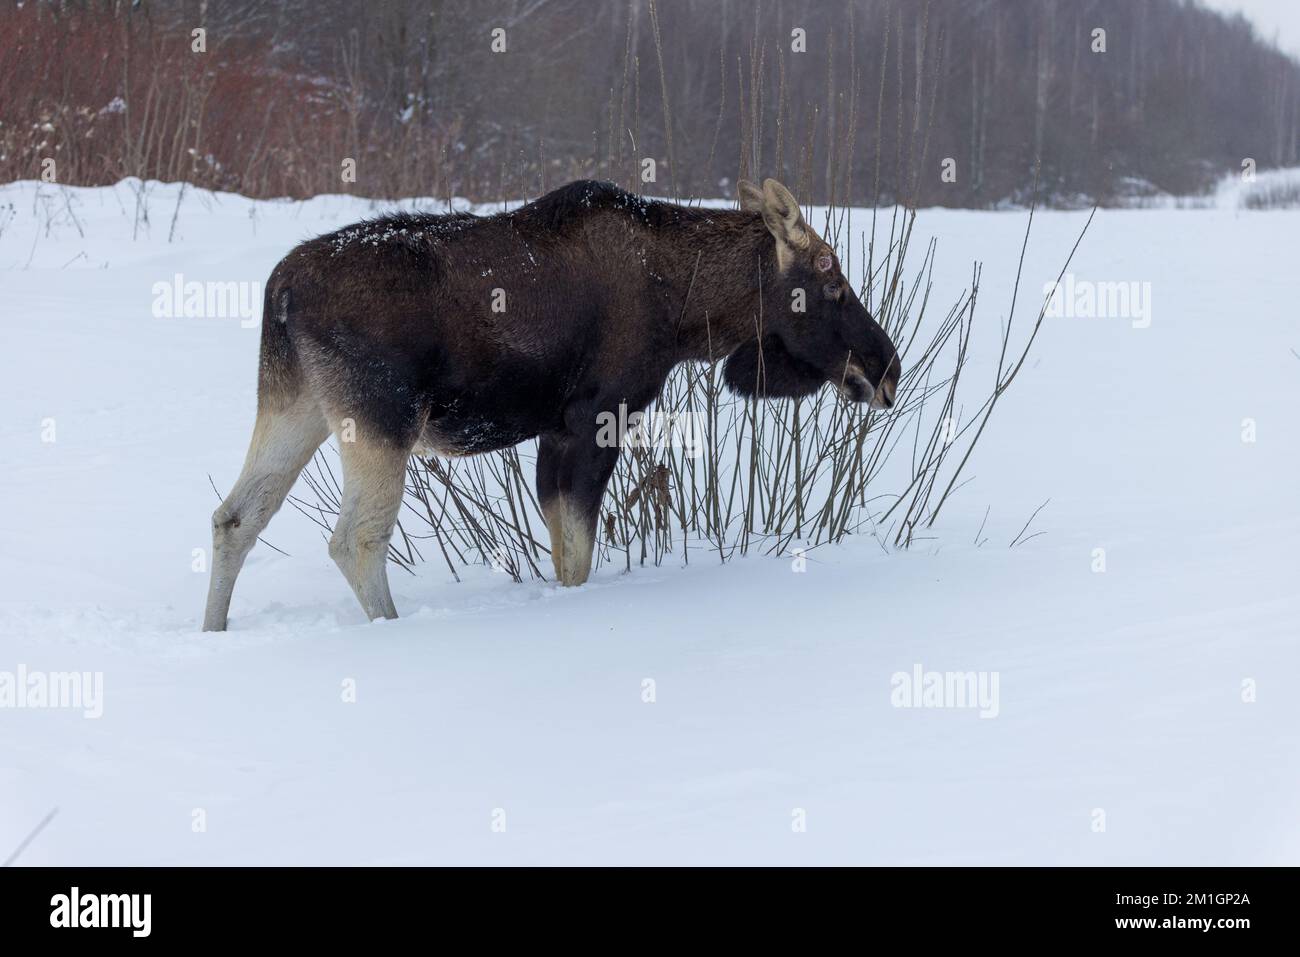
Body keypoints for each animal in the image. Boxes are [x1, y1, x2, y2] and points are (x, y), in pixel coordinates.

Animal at [202, 178, 901, 631]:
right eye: (832, 283)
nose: (885, 368)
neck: (687, 310)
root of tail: (280, 289)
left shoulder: (555, 432)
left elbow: (564, 552)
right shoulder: (595, 416)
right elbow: (579, 553)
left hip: (297, 405)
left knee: (235, 517)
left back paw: (214, 630)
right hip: (379, 418)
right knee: (356, 538)